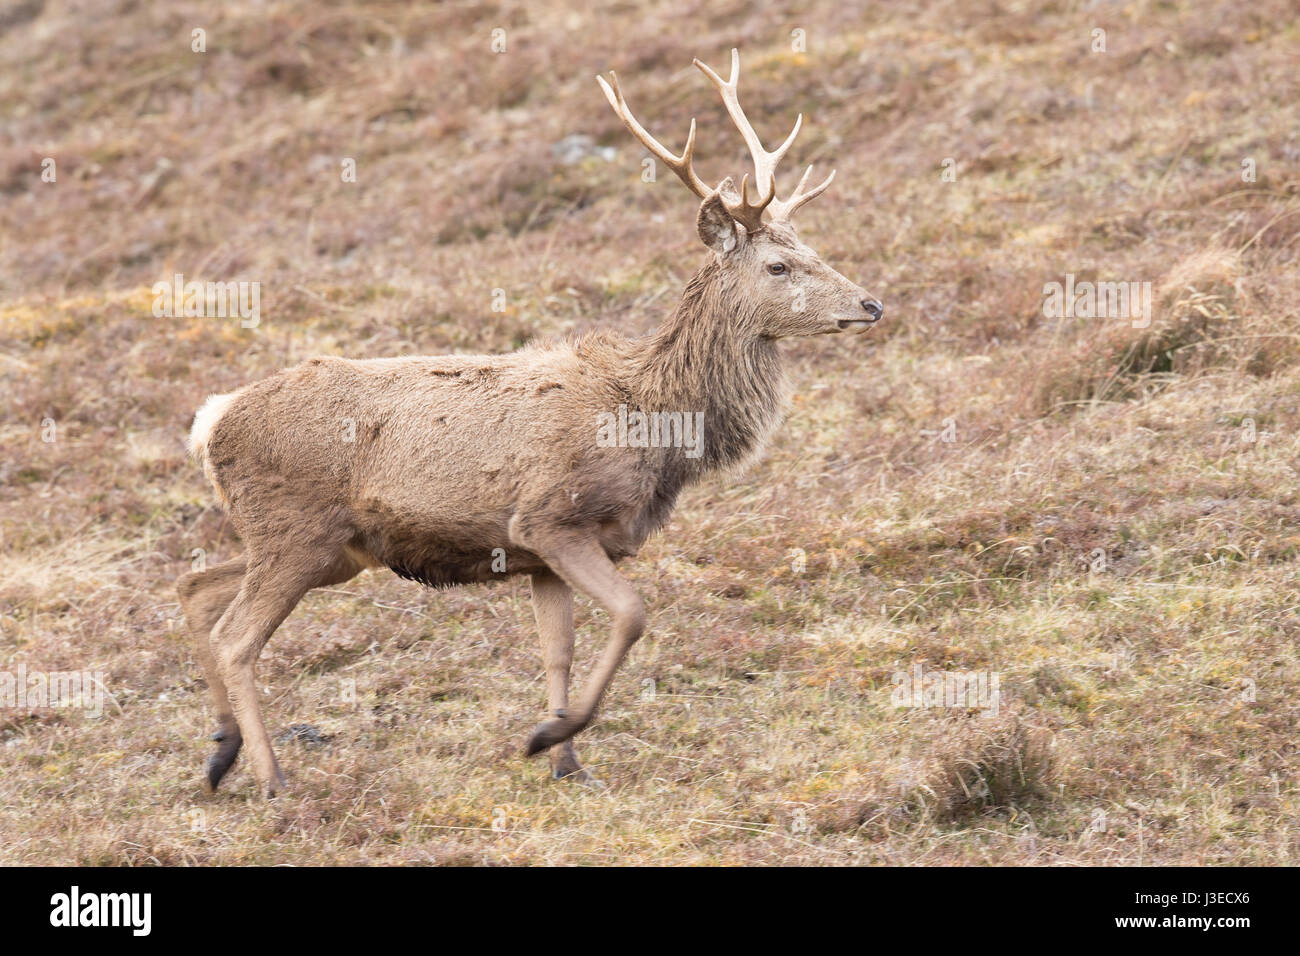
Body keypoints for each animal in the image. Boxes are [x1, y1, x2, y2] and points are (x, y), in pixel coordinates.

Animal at [178, 49, 884, 797]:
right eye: (778, 265)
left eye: (814, 248)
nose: (872, 303)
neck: (650, 414)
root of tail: (210, 421)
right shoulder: (550, 517)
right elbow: (632, 615)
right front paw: (548, 736)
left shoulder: (540, 556)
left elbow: (558, 652)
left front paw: (566, 759)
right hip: (297, 533)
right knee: (235, 637)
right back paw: (271, 777)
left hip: (323, 548)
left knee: (194, 589)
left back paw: (220, 751)